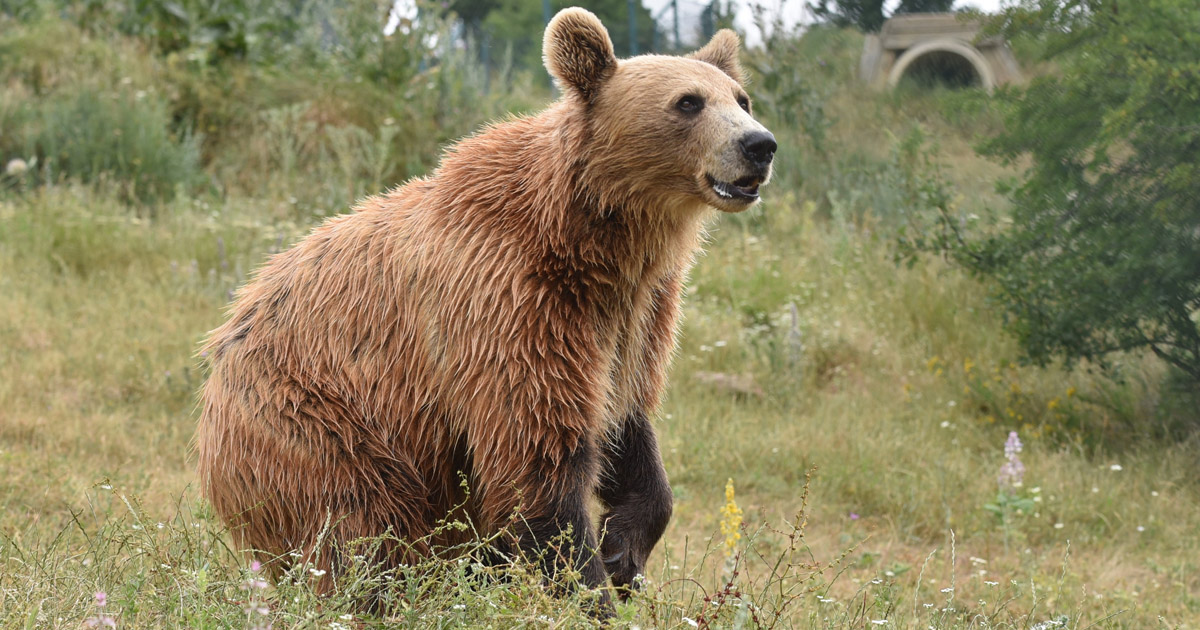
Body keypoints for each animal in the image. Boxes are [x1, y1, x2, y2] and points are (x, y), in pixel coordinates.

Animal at [196, 6, 775, 609]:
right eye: (688, 102)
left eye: (742, 98)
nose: (760, 145)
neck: (593, 241)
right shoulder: (509, 306)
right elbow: (533, 455)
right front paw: (589, 589)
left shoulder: (635, 316)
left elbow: (623, 419)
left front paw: (624, 553)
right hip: (315, 422)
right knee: (356, 527)